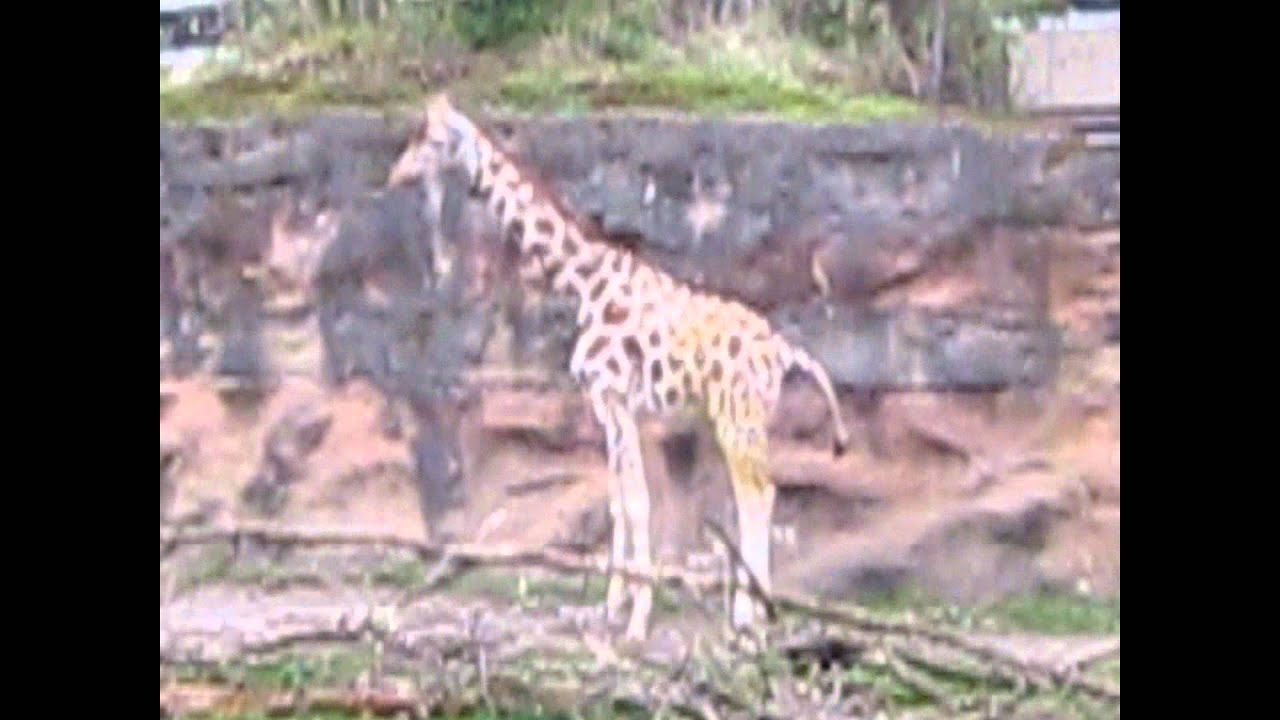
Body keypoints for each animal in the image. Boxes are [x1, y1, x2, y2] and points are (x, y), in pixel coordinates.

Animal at [388, 94, 850, 641]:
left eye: (433, 140)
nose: (396, 175)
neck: (582, 283)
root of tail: (781, 350)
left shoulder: (614, 395)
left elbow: (637, 500)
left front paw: (636, 620)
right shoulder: (606, 403)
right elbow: (617, 501)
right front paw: (611, 608)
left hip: (736, 414)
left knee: (757, 493)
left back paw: (747, 617)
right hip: (743, 417)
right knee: (758, 494)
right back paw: (756, 613)